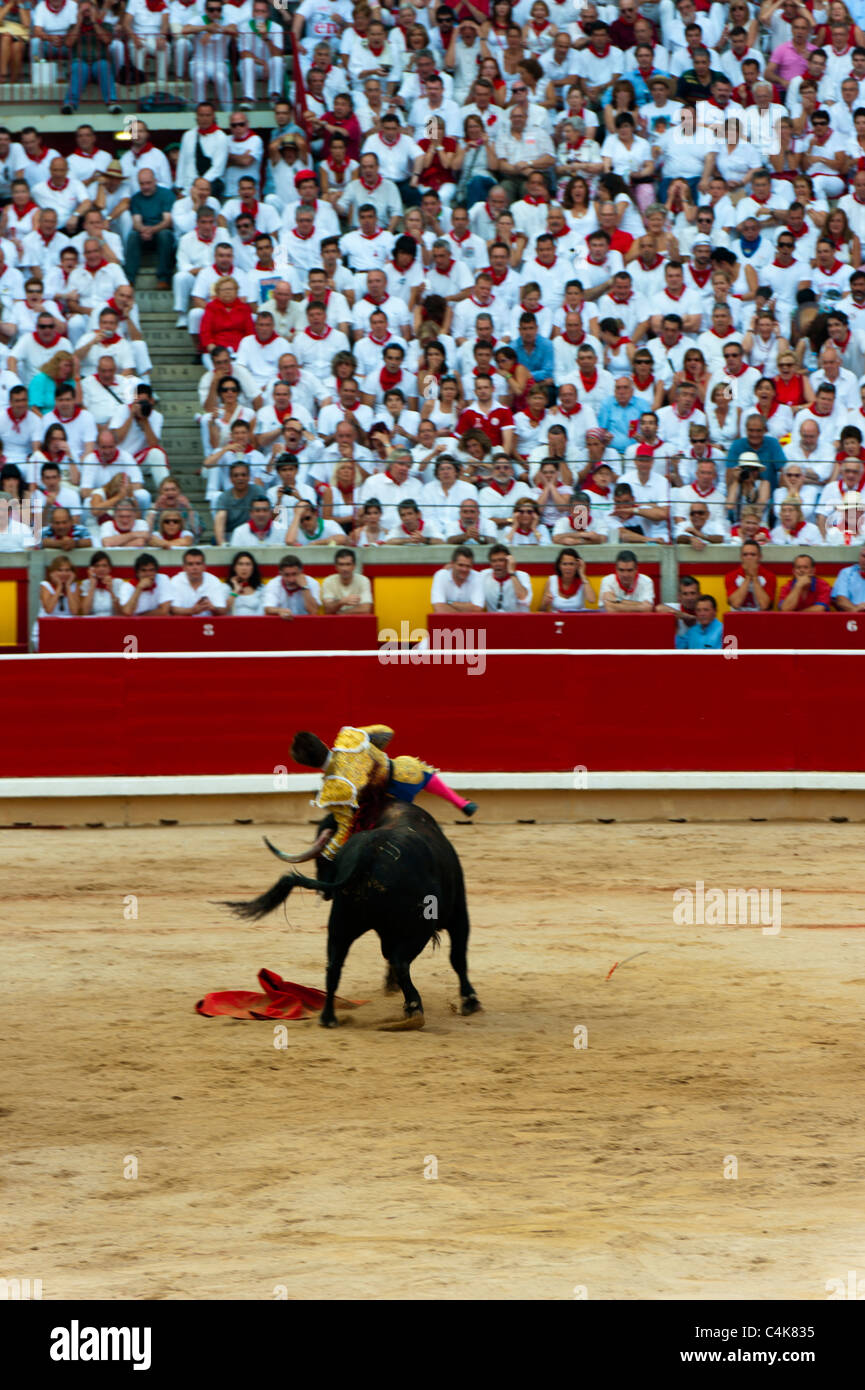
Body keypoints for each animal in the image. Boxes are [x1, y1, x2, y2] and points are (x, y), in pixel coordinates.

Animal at [224, 799, 481, 1030]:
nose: (324, 891)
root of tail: (369, 853)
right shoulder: (459, 914)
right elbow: (457, 958)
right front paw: (470, 1002)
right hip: (419, 927)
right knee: (401, 962)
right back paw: (413, 1009)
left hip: (341, 923)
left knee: (334, 966)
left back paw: (329, 1018)